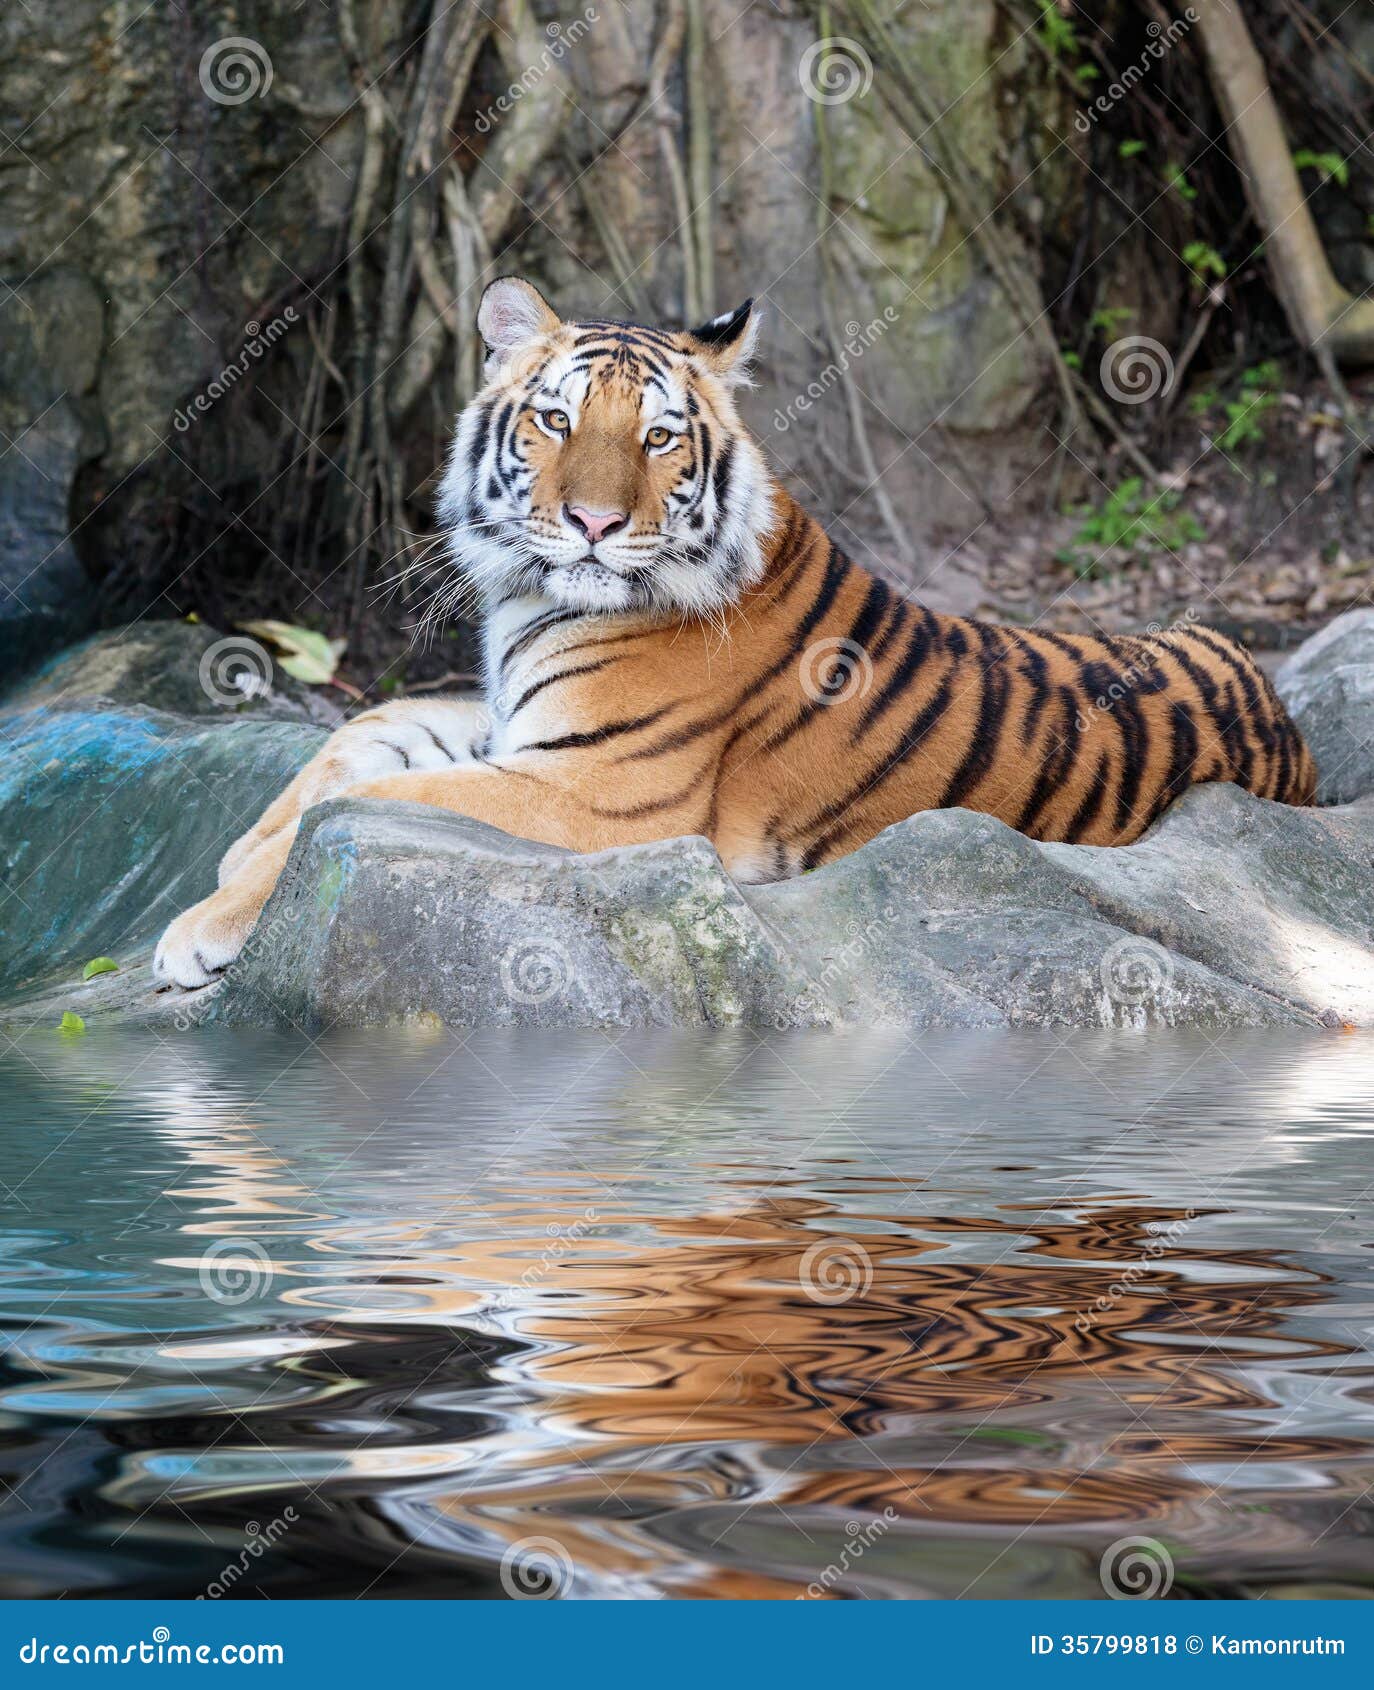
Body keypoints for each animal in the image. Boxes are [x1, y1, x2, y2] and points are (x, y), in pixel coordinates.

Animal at [153, 275, 1317, 989]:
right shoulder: (511, 724)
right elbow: (359, 738)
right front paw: (232, 855)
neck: (533, 597)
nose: (593, 523)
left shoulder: (597, 787)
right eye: (557, 420)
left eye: (660, 438)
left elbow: (364, 796)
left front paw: (200, 924)